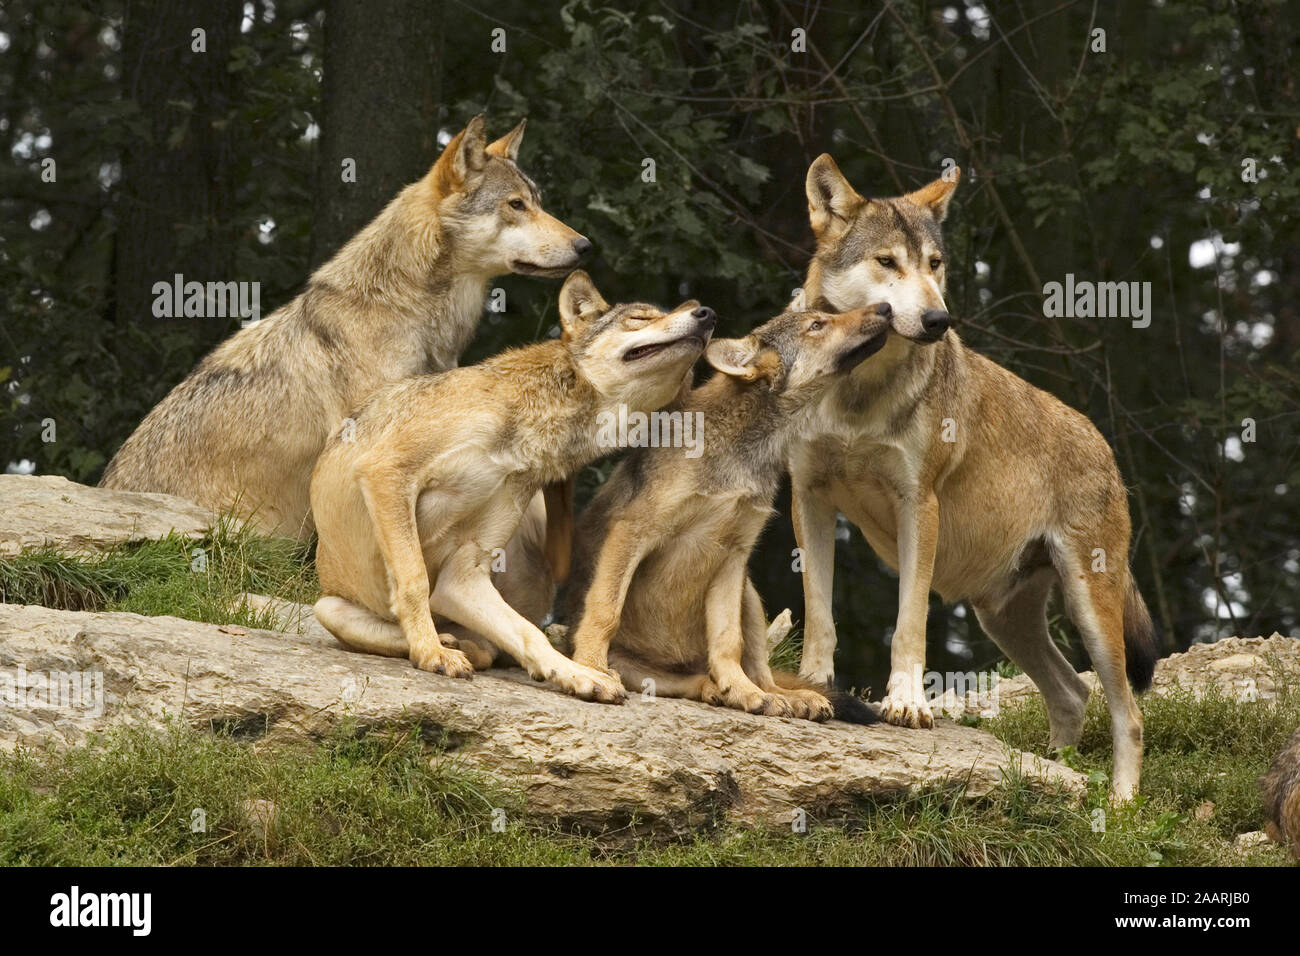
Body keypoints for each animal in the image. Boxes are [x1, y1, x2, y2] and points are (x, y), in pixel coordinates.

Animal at [310, 271, 714, 701]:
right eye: (640, 318)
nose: (707, 314)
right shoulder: (386, 473)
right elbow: (413, 580)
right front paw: (430, 652)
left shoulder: (464, 575)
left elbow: (529, 633)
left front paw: (578, 674)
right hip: (328, 607)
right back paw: (446, 643)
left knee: (495, 647)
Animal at [563, 303, 889, 723]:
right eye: (817, 325)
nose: (886, 307)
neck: (744, 451)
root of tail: (680, 661)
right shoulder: (633, 531)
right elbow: (605, 611)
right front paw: (589, 667)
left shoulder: (733, 557)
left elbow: (727, 644)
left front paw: (745, 691)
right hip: (650, 664)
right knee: (691, 681)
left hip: (750, 596)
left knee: (759, 672)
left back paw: (784, 697)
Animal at [788, 155, 1159, 798]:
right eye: (887, 262)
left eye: (935, 265)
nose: (938, 318)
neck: (859, 393)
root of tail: (1105, 447)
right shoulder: (809, 499)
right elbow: (819, 614)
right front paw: (815, 689)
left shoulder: (919, 506)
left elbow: (909, 622)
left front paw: (907, 705)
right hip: (1003, 620)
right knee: (1072, 694)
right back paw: (1057, 777)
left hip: (1090, 607)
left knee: (1128, 715)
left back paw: (1119, 808)